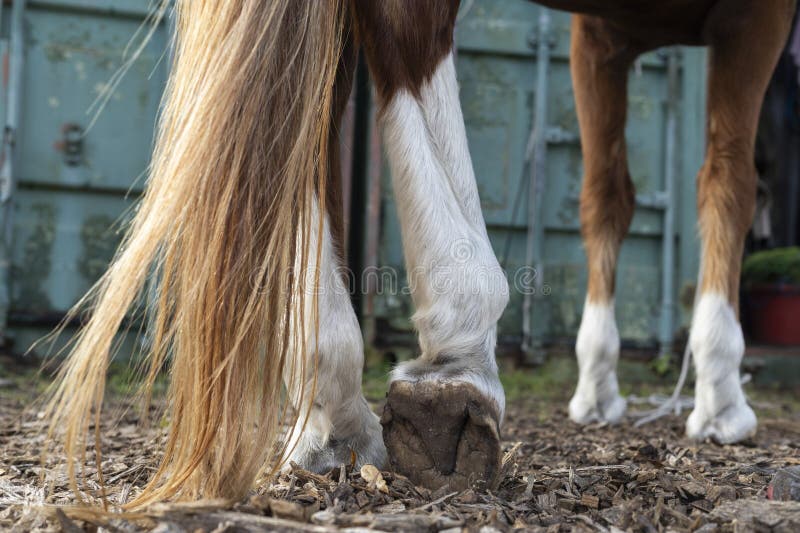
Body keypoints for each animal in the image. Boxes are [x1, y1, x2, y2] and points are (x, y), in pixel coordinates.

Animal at [45, 0, 795, 507]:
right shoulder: (745, 16)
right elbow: (727, 183)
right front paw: (721, 397)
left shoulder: (601, 34)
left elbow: (607, 198)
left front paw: (598, 386)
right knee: (406, 39)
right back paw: (454, 367)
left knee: (308, 122)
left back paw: (327, 409)